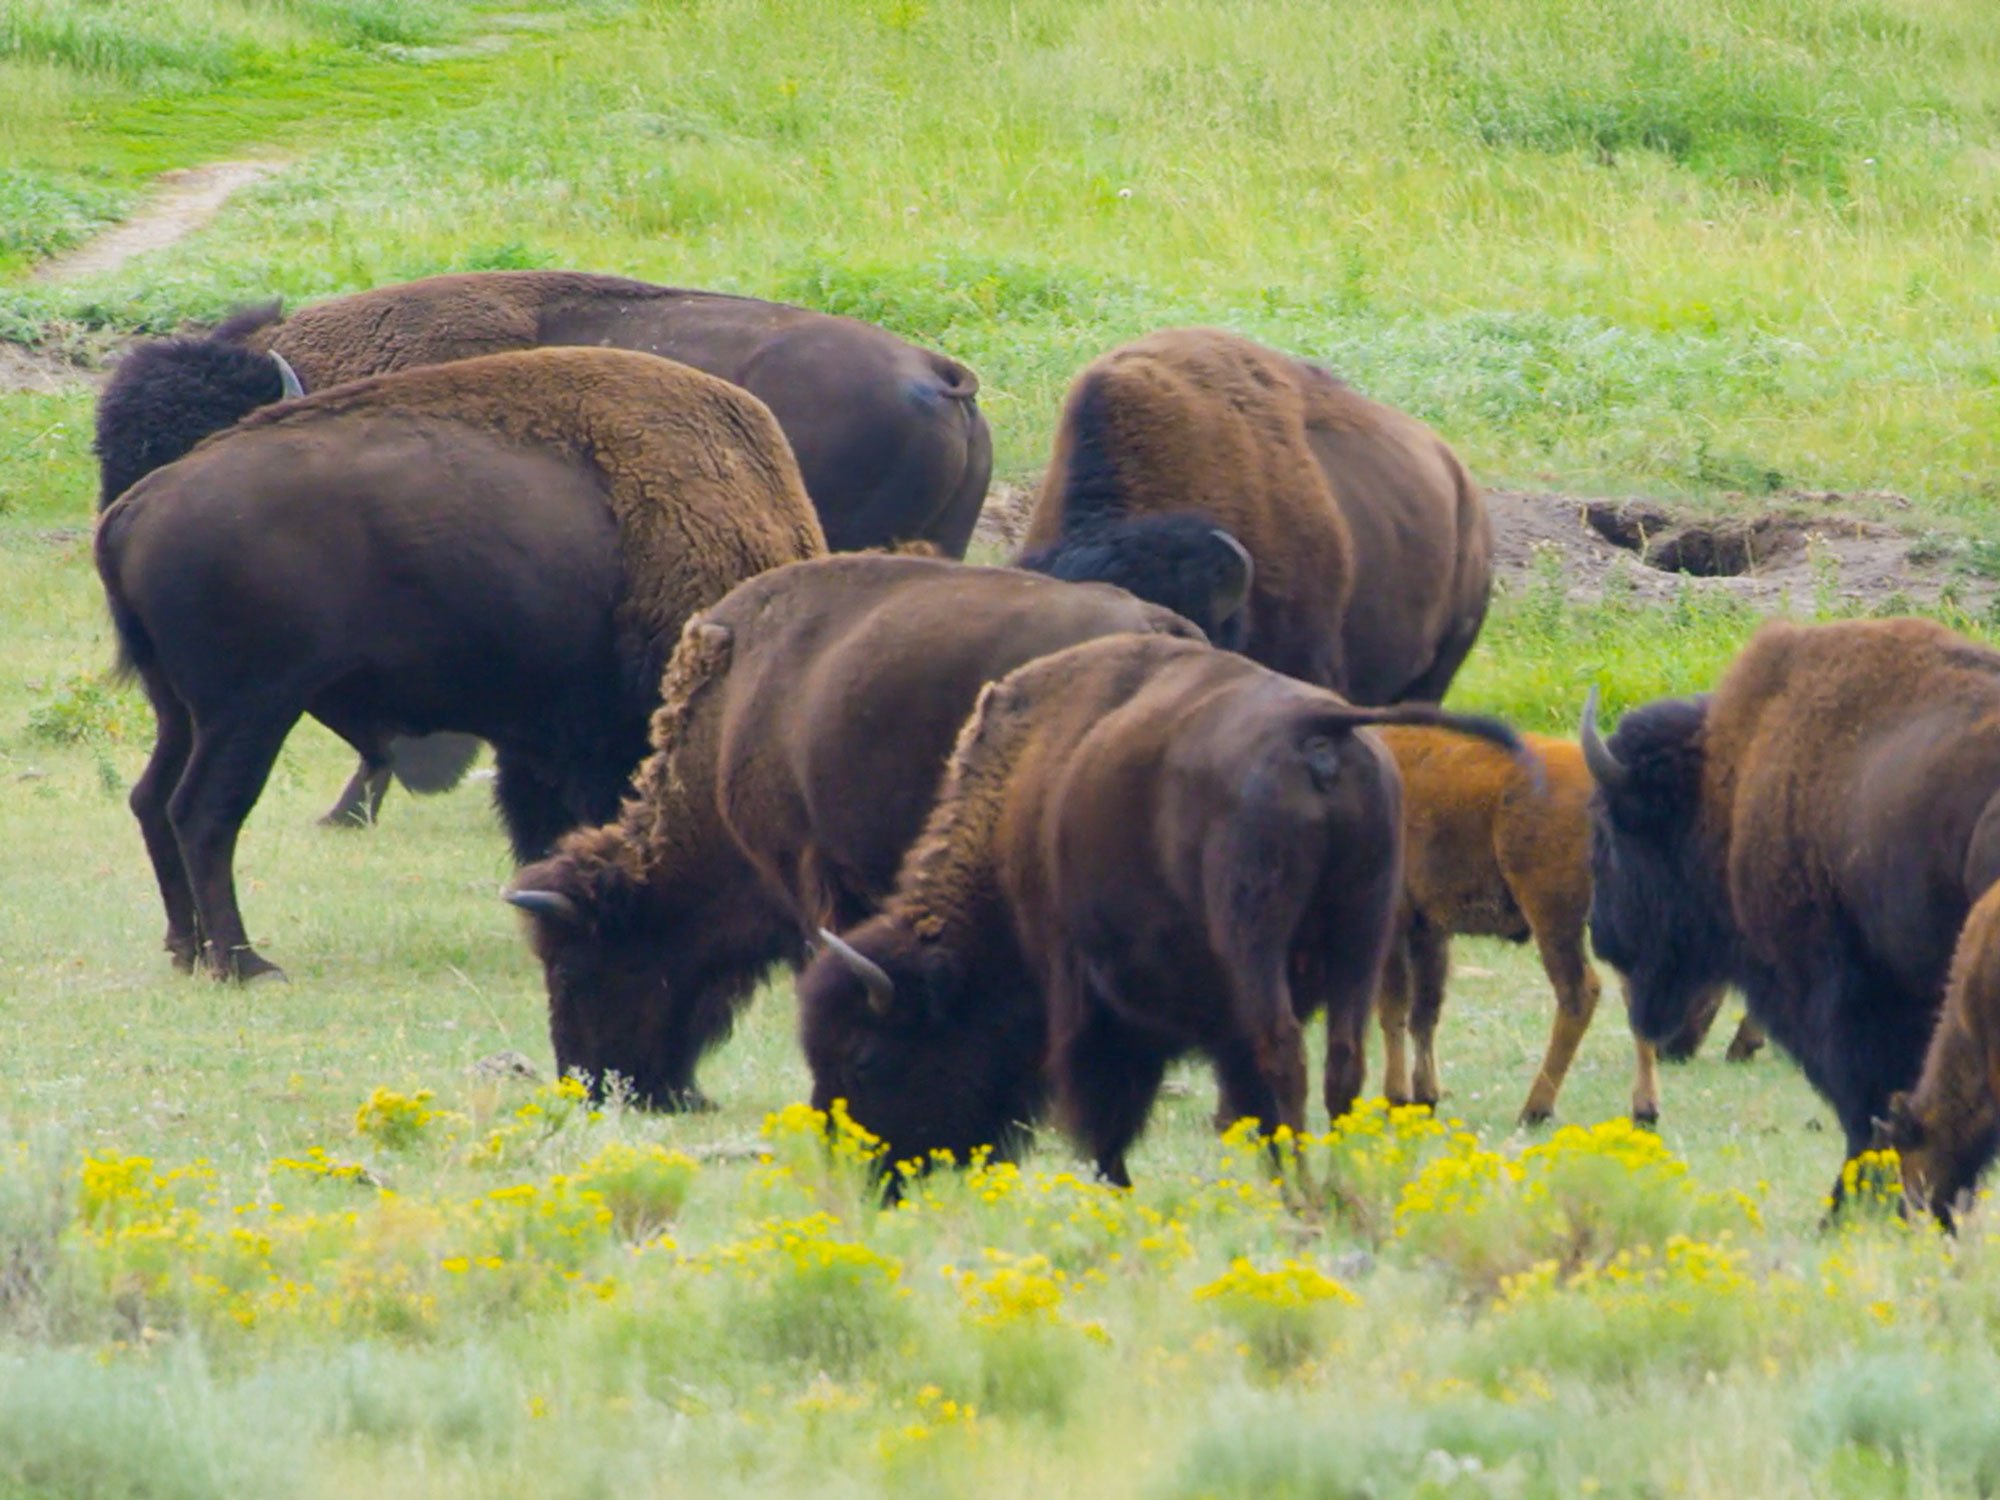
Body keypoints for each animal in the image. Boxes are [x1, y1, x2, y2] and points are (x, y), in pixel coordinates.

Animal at [96, 343, 824, 981]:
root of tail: (134, 507)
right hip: (249, 712)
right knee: (203, 814)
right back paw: (245, 964)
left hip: (180, 711)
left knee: (151, 800)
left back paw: (187, 951)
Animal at [801, 633, 1527, 1185]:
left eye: (864, 1059)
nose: (867, 1176)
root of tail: (1316, 732)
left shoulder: (1087, 1000)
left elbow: (1107, 1110)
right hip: (1363, 934)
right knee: (1341, 1066)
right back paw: (1339, 1190)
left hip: (1257, 944)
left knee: (1284, 1055)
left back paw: (1304, 1195)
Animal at [1371, 727, 1762, 1128]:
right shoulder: (1429, 931)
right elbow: (1423, 1012)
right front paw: (1425, 1097)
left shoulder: (1397, 927)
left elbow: (1393, 1009)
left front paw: (1396, 1098)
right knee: (1630, 991)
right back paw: (1644, 1108)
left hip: (1553, 917)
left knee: (1578, 994)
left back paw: (1535, 1109)